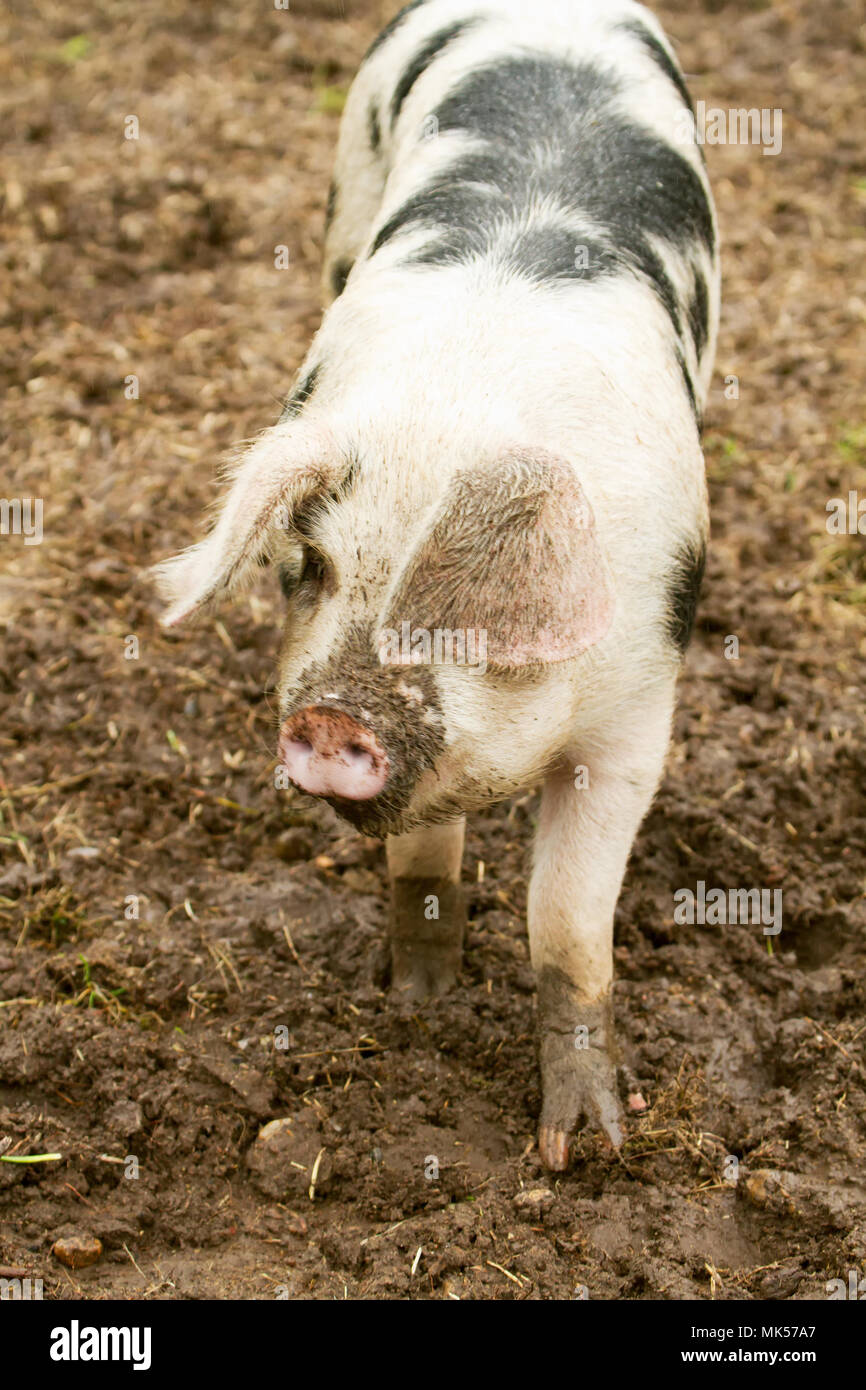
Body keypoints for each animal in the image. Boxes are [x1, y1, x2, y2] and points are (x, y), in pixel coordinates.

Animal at [155, 0, 719, 1171]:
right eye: (311, 566)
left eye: (463, 609)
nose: (331, 717)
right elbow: (421, 859)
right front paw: (416, 1008)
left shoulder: (639, 713)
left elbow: (567, 922)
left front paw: (581, 1151)